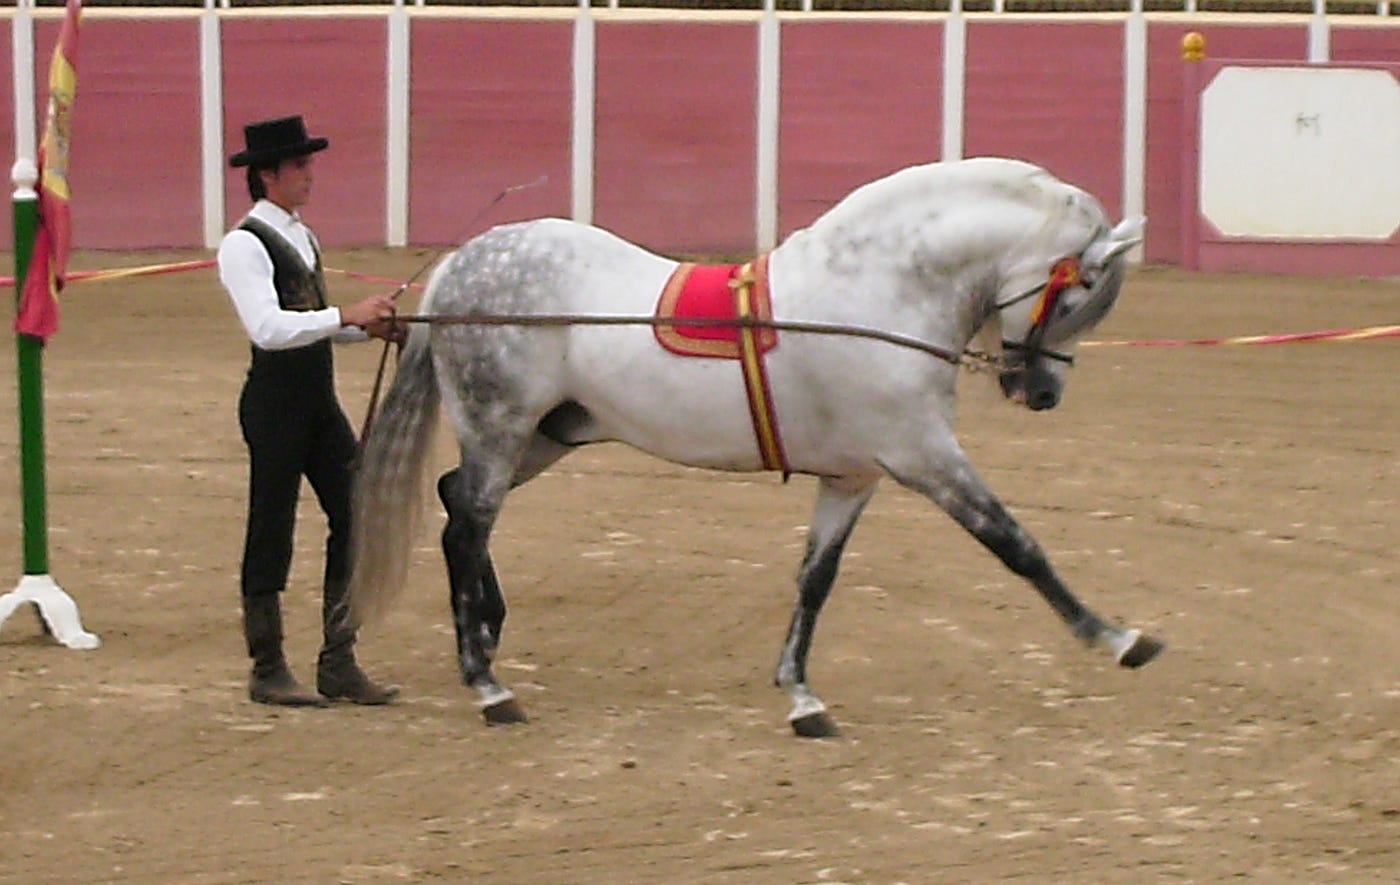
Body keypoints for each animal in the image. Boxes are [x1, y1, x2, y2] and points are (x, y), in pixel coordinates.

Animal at [348, 157, 1159, 737]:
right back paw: (488, 685)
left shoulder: (854, 477)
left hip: (550, 435)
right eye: (1081, 291)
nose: (1039, 392)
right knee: (466, 526)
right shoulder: (924, 456)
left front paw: (801, 696)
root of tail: (459, 267)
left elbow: (815, 579)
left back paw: (490, 628)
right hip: (500, 426)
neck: (875, 293)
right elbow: (1017, 545)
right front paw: (1117, 638)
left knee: (457, 503)